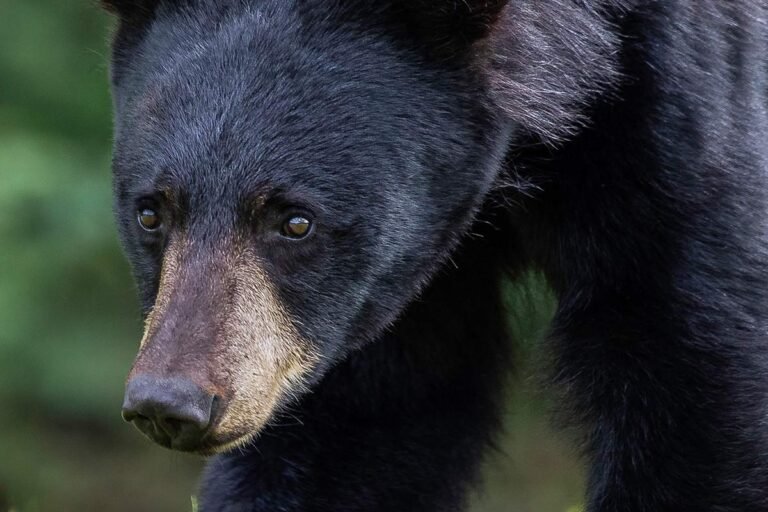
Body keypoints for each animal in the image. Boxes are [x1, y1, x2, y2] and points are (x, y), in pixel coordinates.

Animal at [101, 0, 768, 511]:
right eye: (151, 213)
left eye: (295, 221)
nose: (170, 403)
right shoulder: (372, 294)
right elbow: (360, 426)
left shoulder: (679, 131)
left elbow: (696, 386)